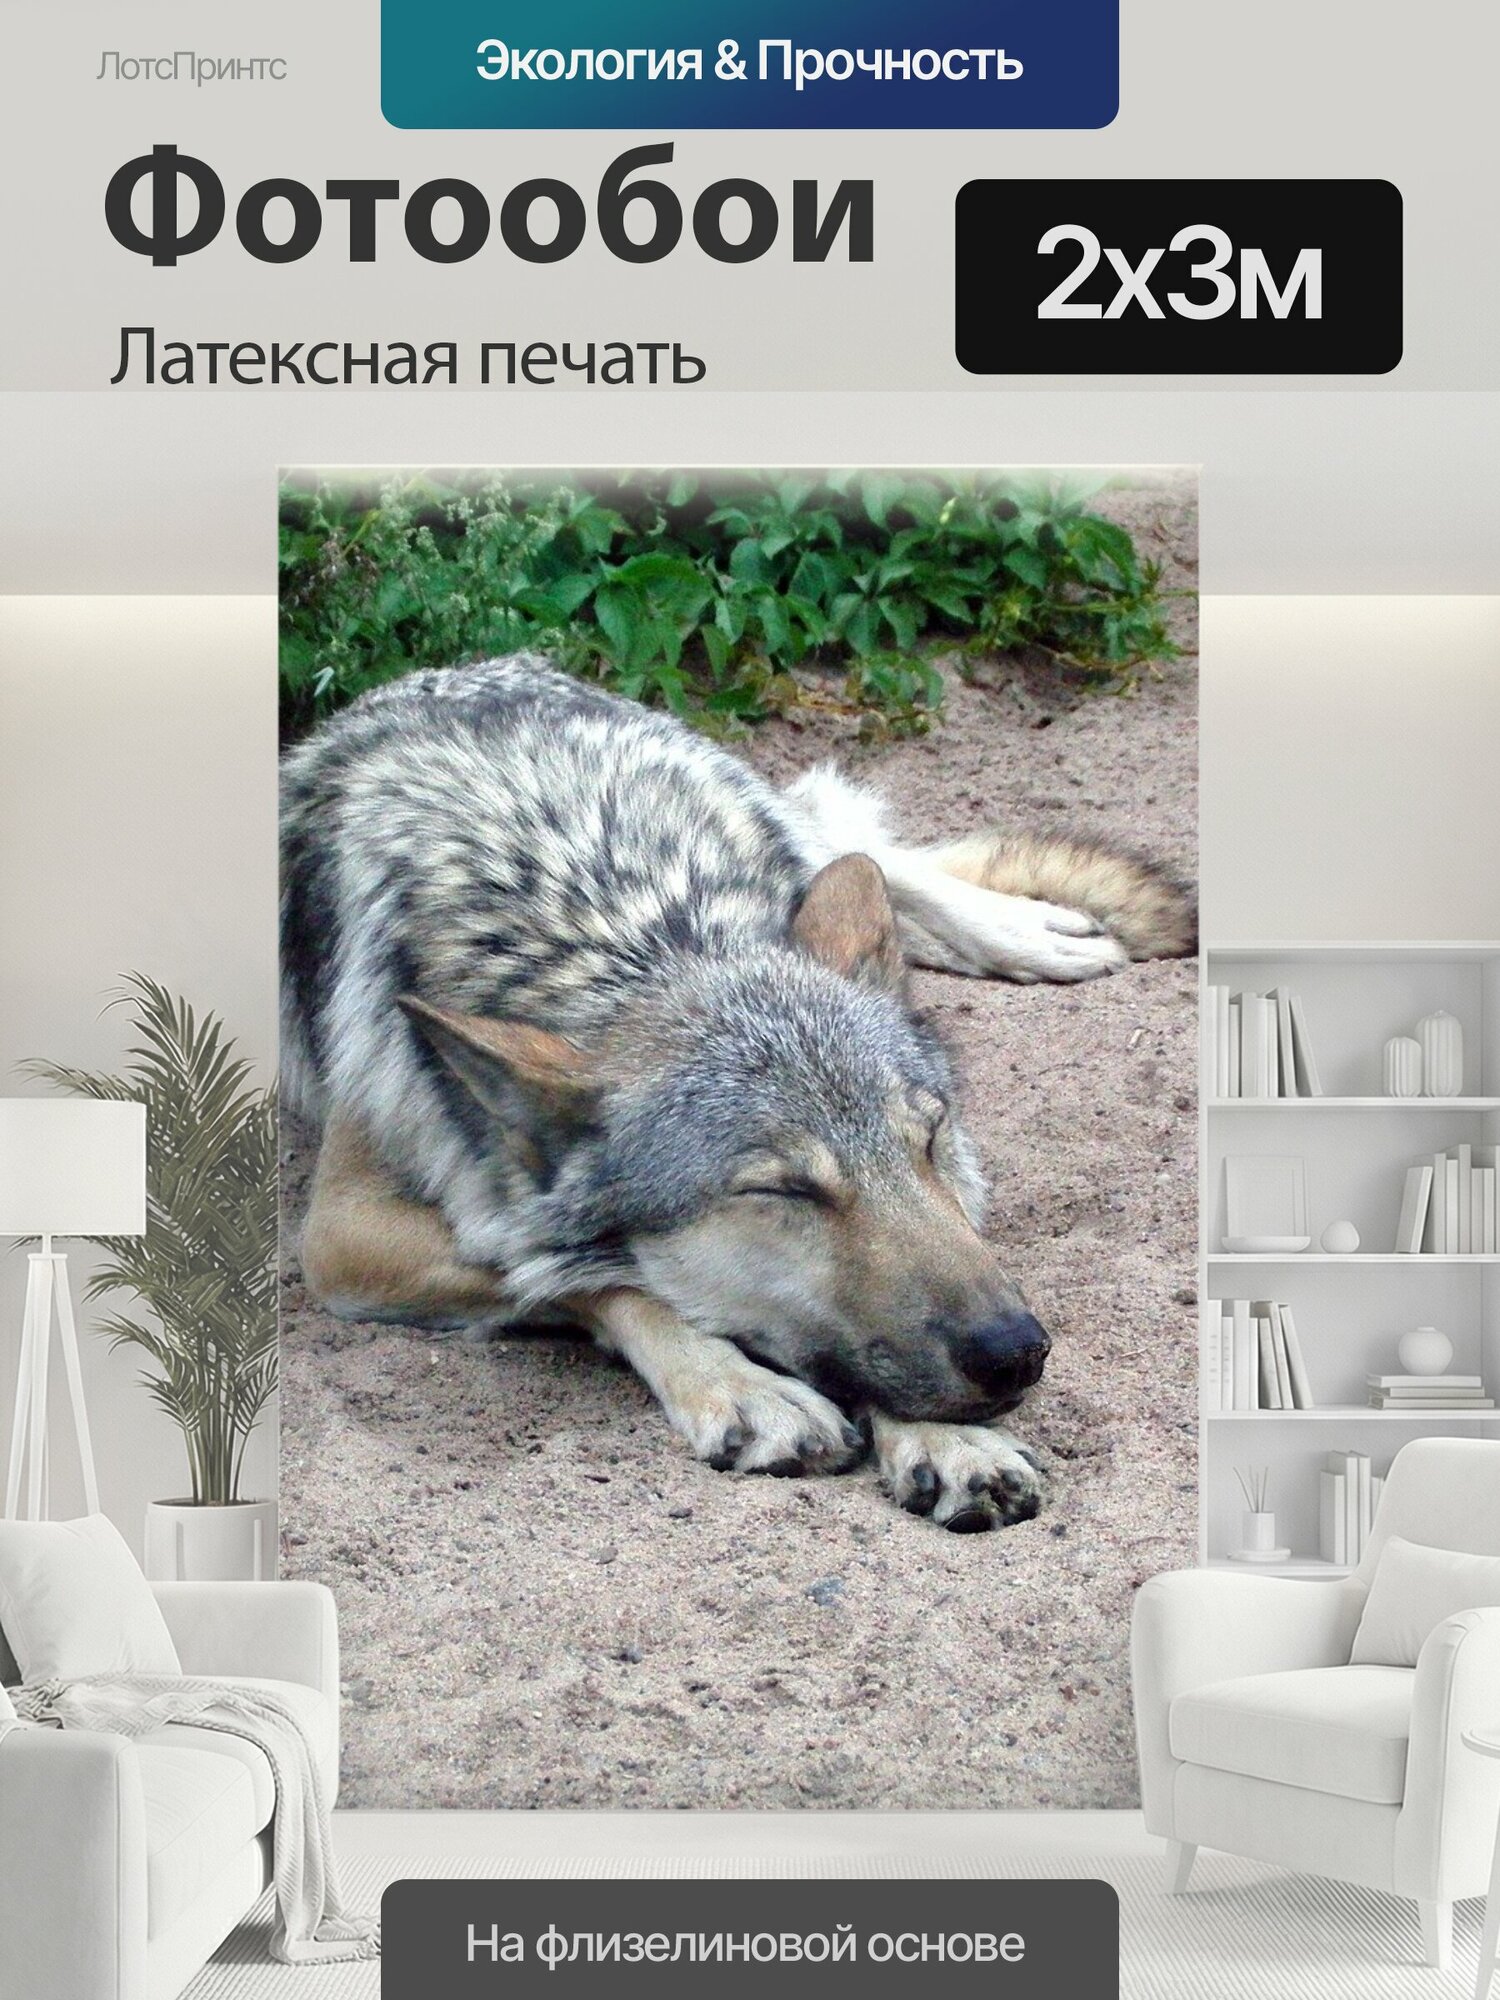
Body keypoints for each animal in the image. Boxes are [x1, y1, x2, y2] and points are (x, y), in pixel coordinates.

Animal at [281, 655, 1194, 1531]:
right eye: (782, 1191)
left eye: (927, 1144)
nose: (1015, 1353)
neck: (639, 928)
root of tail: (441, 675)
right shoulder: (344, 1239)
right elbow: (605, 1278)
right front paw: (746, 1389)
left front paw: (951, 1438)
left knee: (869, 855)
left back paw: (1035, 927)